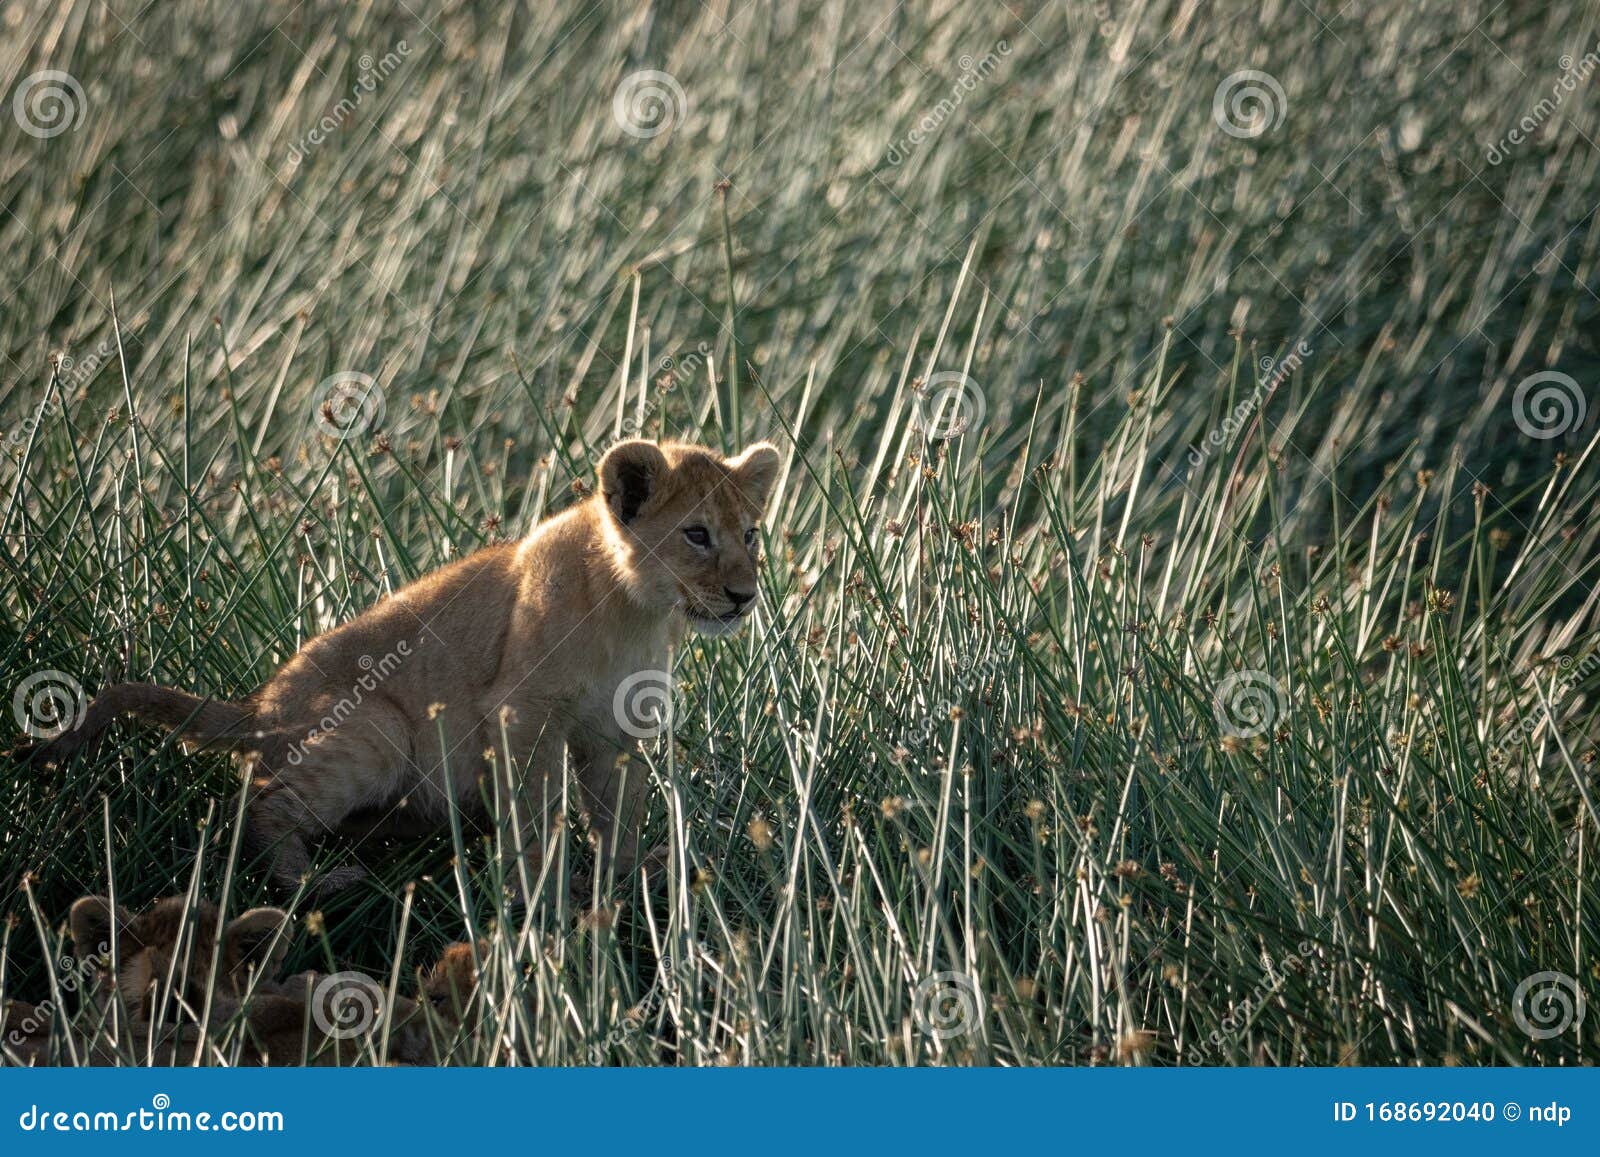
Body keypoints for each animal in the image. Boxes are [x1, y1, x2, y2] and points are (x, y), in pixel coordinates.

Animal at [28, 439, 782, 898]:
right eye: (696, 534)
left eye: (751, 534)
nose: (744, 595)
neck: (637, 611)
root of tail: (258, 706)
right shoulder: (522, 711)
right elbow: (535, 810)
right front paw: (539, 892)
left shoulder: (616, 730)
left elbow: (619, 813)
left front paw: (621, 885)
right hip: (376, 727)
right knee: (261, 803)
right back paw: (319, 882)